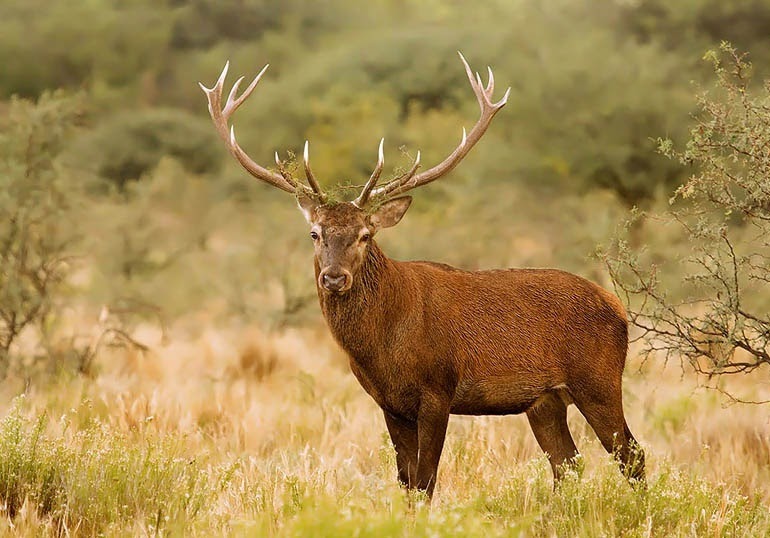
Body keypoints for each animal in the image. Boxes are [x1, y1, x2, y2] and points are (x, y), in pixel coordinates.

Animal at [200, 53, 645, 499]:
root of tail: (618, 307)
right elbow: (405, 480)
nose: (334, 278)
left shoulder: (437, 389)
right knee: (568, 465)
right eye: (315, 232)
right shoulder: (388, 403)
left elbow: (425, 480)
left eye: (366, 234)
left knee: (632, 456)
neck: (383, 346)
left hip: (599, 380)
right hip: (545, 401)